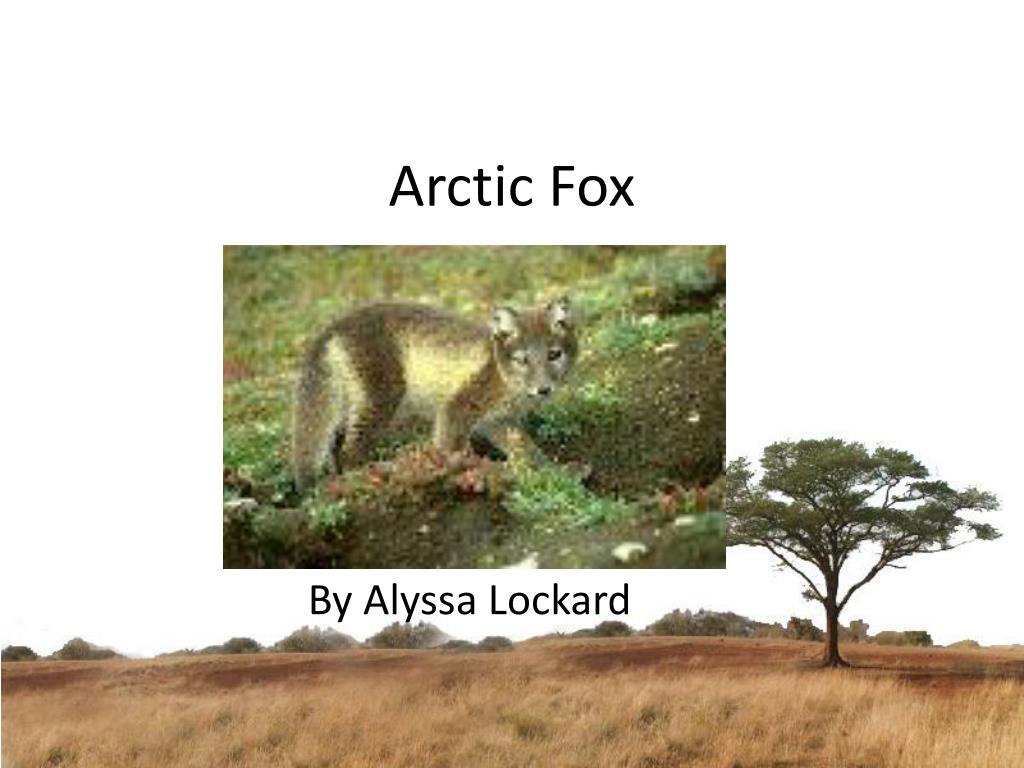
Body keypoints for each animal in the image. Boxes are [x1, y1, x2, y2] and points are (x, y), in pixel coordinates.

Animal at [291, 297, 578, 490]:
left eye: (554, 354)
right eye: (522, 359)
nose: (543, 389)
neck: (501, 372)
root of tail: (335, 325)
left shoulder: (499, 421)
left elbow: (529, 451)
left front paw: (555, 475)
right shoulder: (457, 408)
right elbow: (451, 450)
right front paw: (454, 476)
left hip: (351, 402)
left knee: (336, 446)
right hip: (380, 398)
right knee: (350, 451)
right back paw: (368, 478)